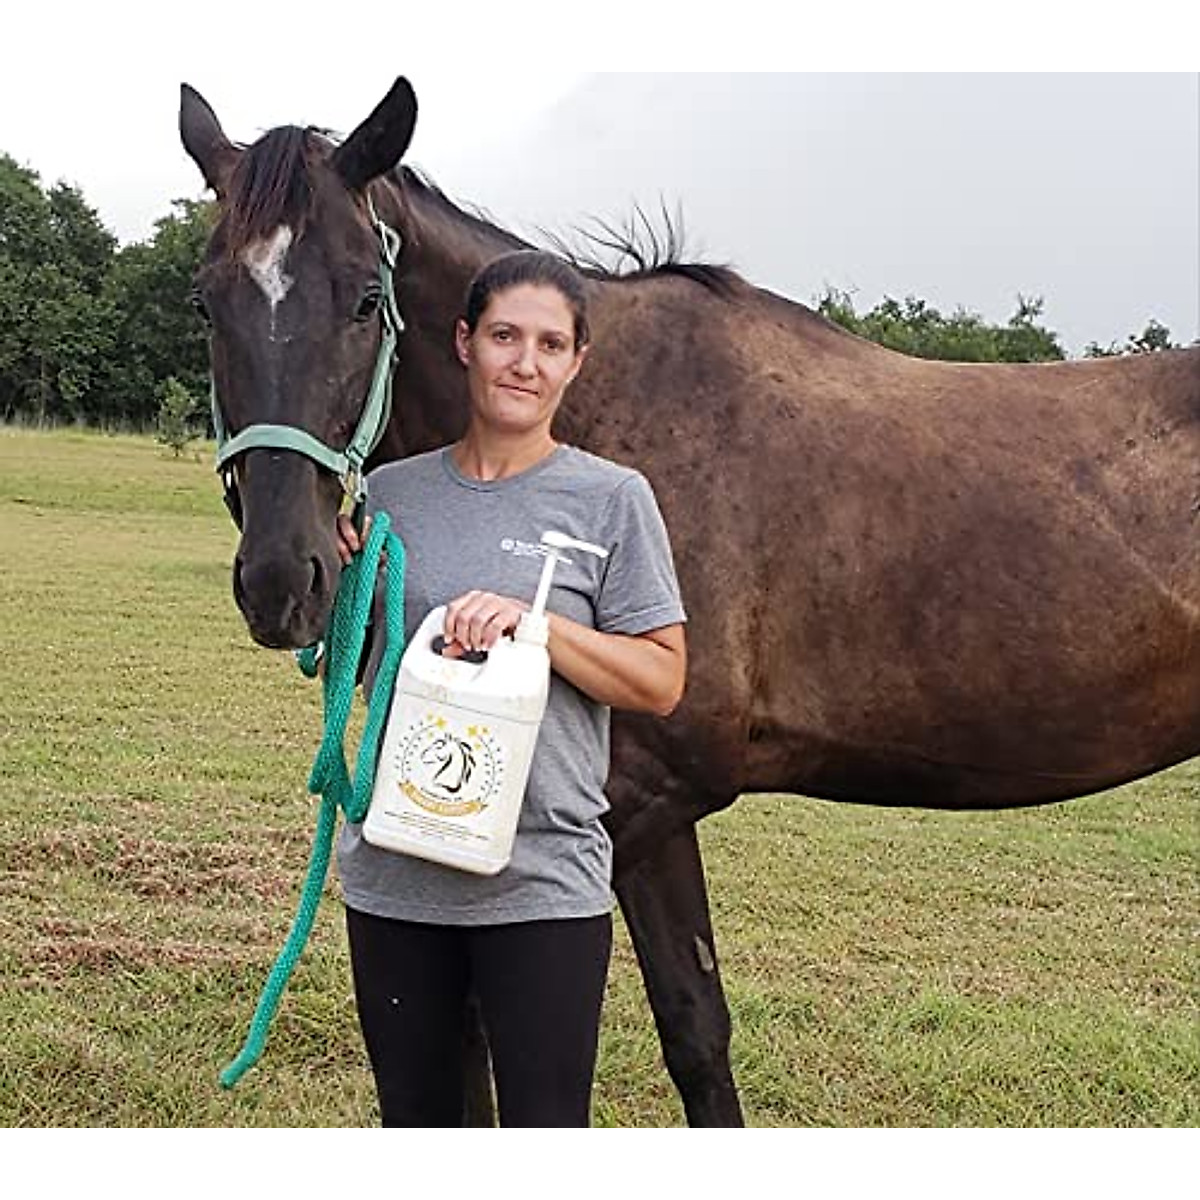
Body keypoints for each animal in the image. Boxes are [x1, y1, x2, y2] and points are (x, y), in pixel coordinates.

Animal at [179, 76, 1200, 1126]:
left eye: (364, 297)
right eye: (207, 302)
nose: (282, 578)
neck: (604, 415)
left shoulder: (649, 801)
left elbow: (636, 1031)